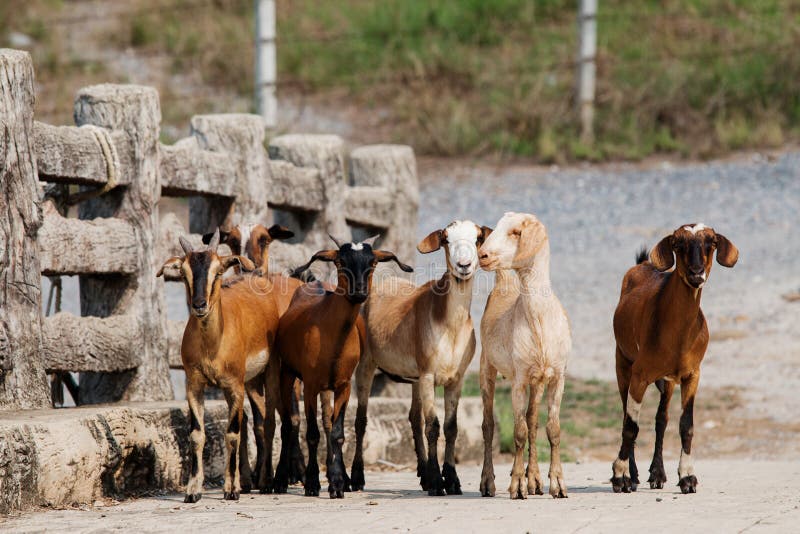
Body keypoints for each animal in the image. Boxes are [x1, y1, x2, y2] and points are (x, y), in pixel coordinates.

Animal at [157, 229, 276, 503]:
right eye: (184, 273)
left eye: (218, 271)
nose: (200, 305)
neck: (212, 345)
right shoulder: (195, 385)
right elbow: (197, 434)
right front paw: (193, 491)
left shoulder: (234, 386)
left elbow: (231, 433)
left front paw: (231, 490)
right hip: (251, 383)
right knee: (257, 420)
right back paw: (251, 480)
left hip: (271, 374)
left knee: (271, 420)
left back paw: (268, 481)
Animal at [272, 236, 413, 498]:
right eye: (340, 261)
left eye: (373, 262)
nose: (359, 292)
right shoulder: (310, 385)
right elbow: (312, 433)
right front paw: (312, 483)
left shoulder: (344, 385)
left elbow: (337, 433)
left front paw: (338, 483)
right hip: (286, 373)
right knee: (288, 424)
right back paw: (278, 480)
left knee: (326, 423)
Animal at [351, 220, 491, 496]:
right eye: (446, 240)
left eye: (478, 238)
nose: (464, 265)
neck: (450, 324)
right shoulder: (428, 375)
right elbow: (433, 426)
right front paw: (438, 482)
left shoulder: (455, 379)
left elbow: (451, 427)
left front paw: (452, 480)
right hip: (367, 364)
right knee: (361, 419)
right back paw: (357, 477)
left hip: (414, 378)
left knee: (414, 419)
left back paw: (423, 475)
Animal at [478, 212, 571, 499]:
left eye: (516, 232)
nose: (483, 255)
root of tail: (504, 281)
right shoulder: (518, 378)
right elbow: (517, 432)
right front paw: (517, 485)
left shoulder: (557, 376)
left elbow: (552, 429)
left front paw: (557, 484)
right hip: (486, 367)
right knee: (488, 425)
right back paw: (488, 483)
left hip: (537, 381)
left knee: (532, 421)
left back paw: (535, 480)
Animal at [611, 223, 738, 494]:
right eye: (678, 244)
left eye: (711, 243)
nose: (696, 272)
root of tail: (641, 265)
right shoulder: (639, 374)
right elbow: (631, 426)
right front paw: (620, 476)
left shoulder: (692, 374)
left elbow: (685, 425)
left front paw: (687, 477)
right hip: (622, 362)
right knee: (627, 415)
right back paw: (633, 475)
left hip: (667, 381)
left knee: (661, 419)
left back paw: (657, 474)